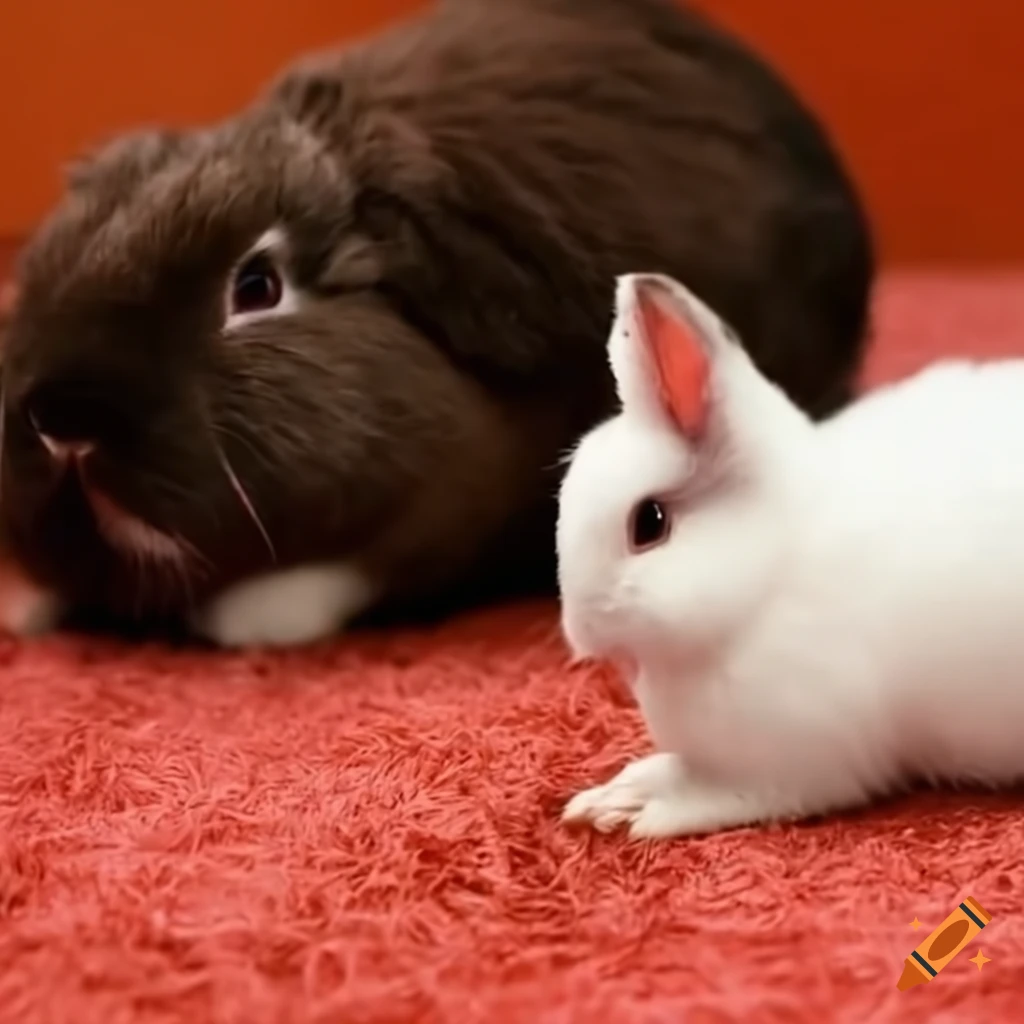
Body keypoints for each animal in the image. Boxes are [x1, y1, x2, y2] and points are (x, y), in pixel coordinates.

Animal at [559, 272, 1024, 839]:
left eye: (649, 523)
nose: (581, 632)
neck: (767, 573)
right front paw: (610, 796)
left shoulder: (797, 767)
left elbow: (715, 796)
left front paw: (640, 815)